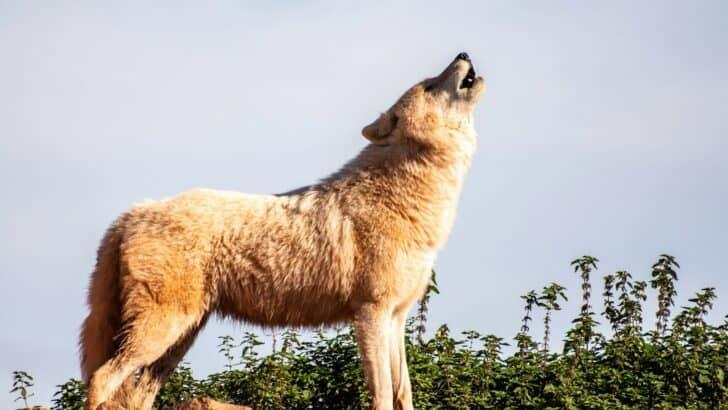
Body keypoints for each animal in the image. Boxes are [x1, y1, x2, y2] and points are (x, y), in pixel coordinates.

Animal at [80, 52, 485, 410]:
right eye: (430, 84)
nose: (464, 53)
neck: (405, 196)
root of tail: (131, 213)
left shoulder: (397, 318)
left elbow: (404, 393)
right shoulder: (371, 313)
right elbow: (383, 394)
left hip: (178, 338)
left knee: (135, 394)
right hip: (160, 331)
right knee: (101, 378)